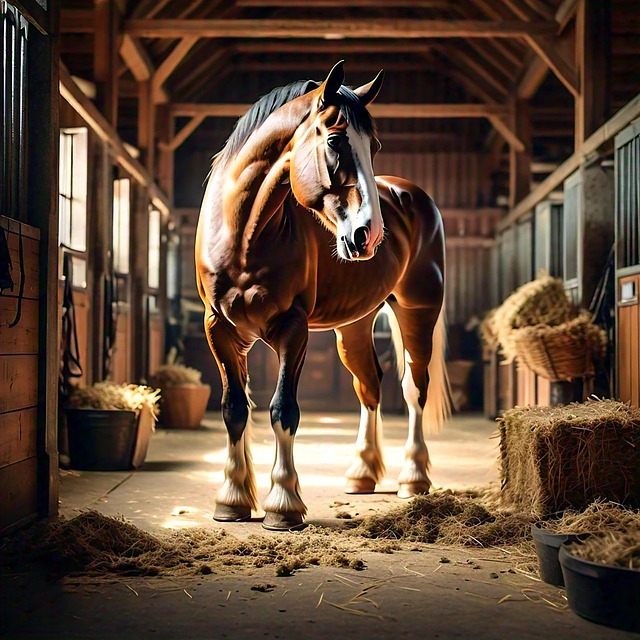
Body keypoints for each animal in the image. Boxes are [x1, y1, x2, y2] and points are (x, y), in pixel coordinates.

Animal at [196, 61, 449, 531]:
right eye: (334, 140)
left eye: (375, 146)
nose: (370, 235)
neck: (241, 236)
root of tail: (413, 195)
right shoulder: (218, 329)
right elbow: (234, 408)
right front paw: (233, 500)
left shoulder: (293, 330)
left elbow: (283, 410)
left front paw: (283, 505)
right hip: (354, 325)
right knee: (370, 386)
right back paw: (361, 474)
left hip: (417, 311)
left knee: (414, 388)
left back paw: (414, 478)